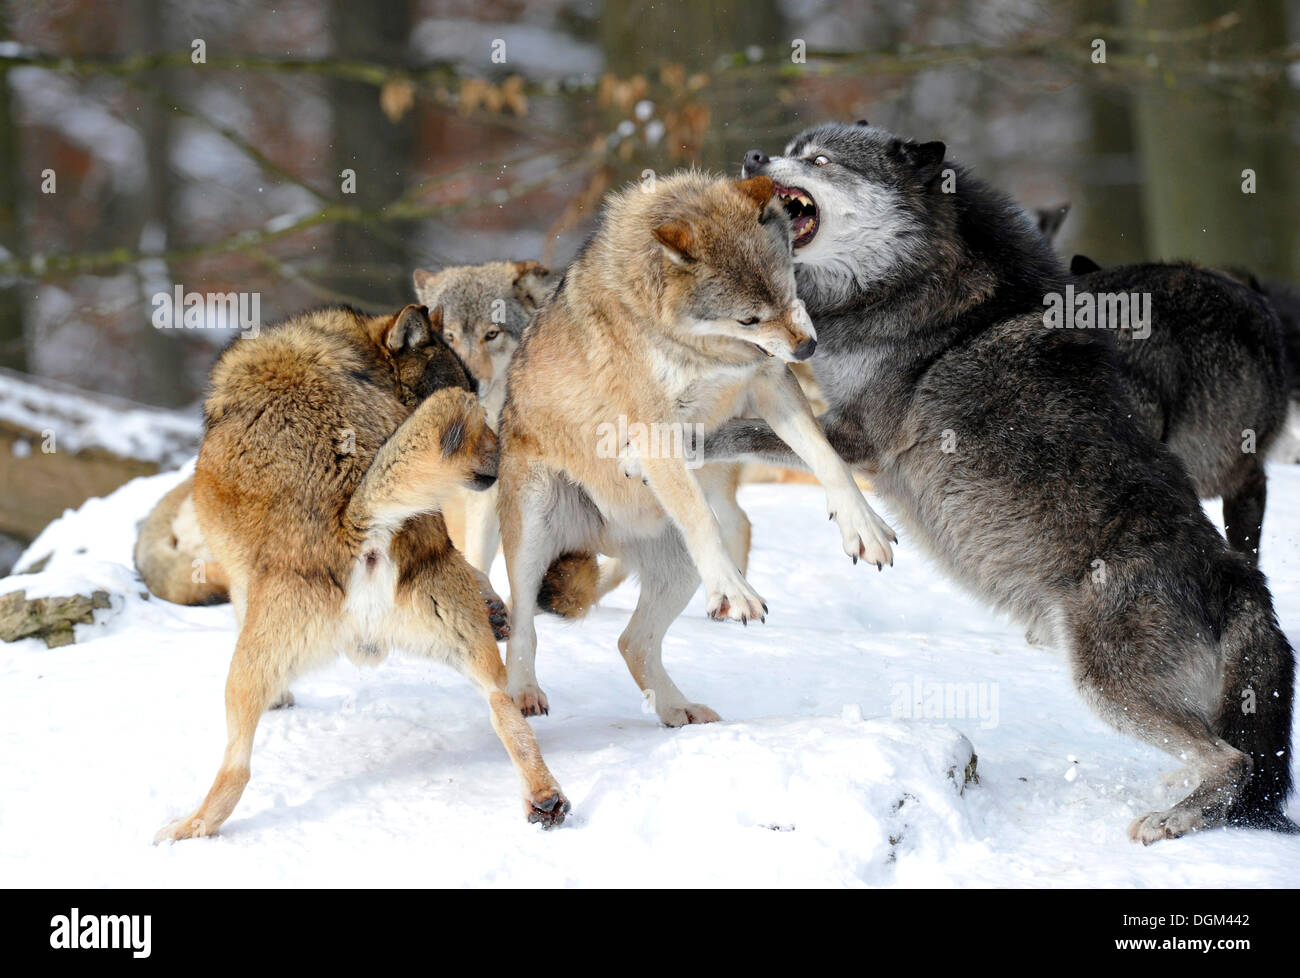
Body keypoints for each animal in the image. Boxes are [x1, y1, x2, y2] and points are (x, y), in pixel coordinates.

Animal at [154, 304, 567, 842]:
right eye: (478, 412)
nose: (503, 457)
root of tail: (362, 528)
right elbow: (480, 573)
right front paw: (495, 606)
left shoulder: (242, 578)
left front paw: (281, 701)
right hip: (474, 655)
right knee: (509, 714)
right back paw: (546, 799)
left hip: (241, 678)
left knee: (236, 771)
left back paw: (185, 829)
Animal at [498, 171, 897, 726]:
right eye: (749, 319)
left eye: (788, 289)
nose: (807, 349)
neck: (703, 347)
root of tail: (606, 537)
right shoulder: (654, 430)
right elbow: (699, 517)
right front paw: (736, 594)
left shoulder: (770, 383)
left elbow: (828, 459)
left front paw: (863, 528)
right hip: (534, 529)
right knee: (523, 626)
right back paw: (524, 695)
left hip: (678, 569)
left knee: (631, 642)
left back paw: (678, 711)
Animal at [699, 122, 1294, 842]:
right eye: (789, 148)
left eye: (818, 161)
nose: (753, 158)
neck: (917, 282)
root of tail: (1242, 584)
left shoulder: (856, 436)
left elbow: (741, 432)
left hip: (1108, 684)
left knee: (1232, 759)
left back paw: (1168, 821)